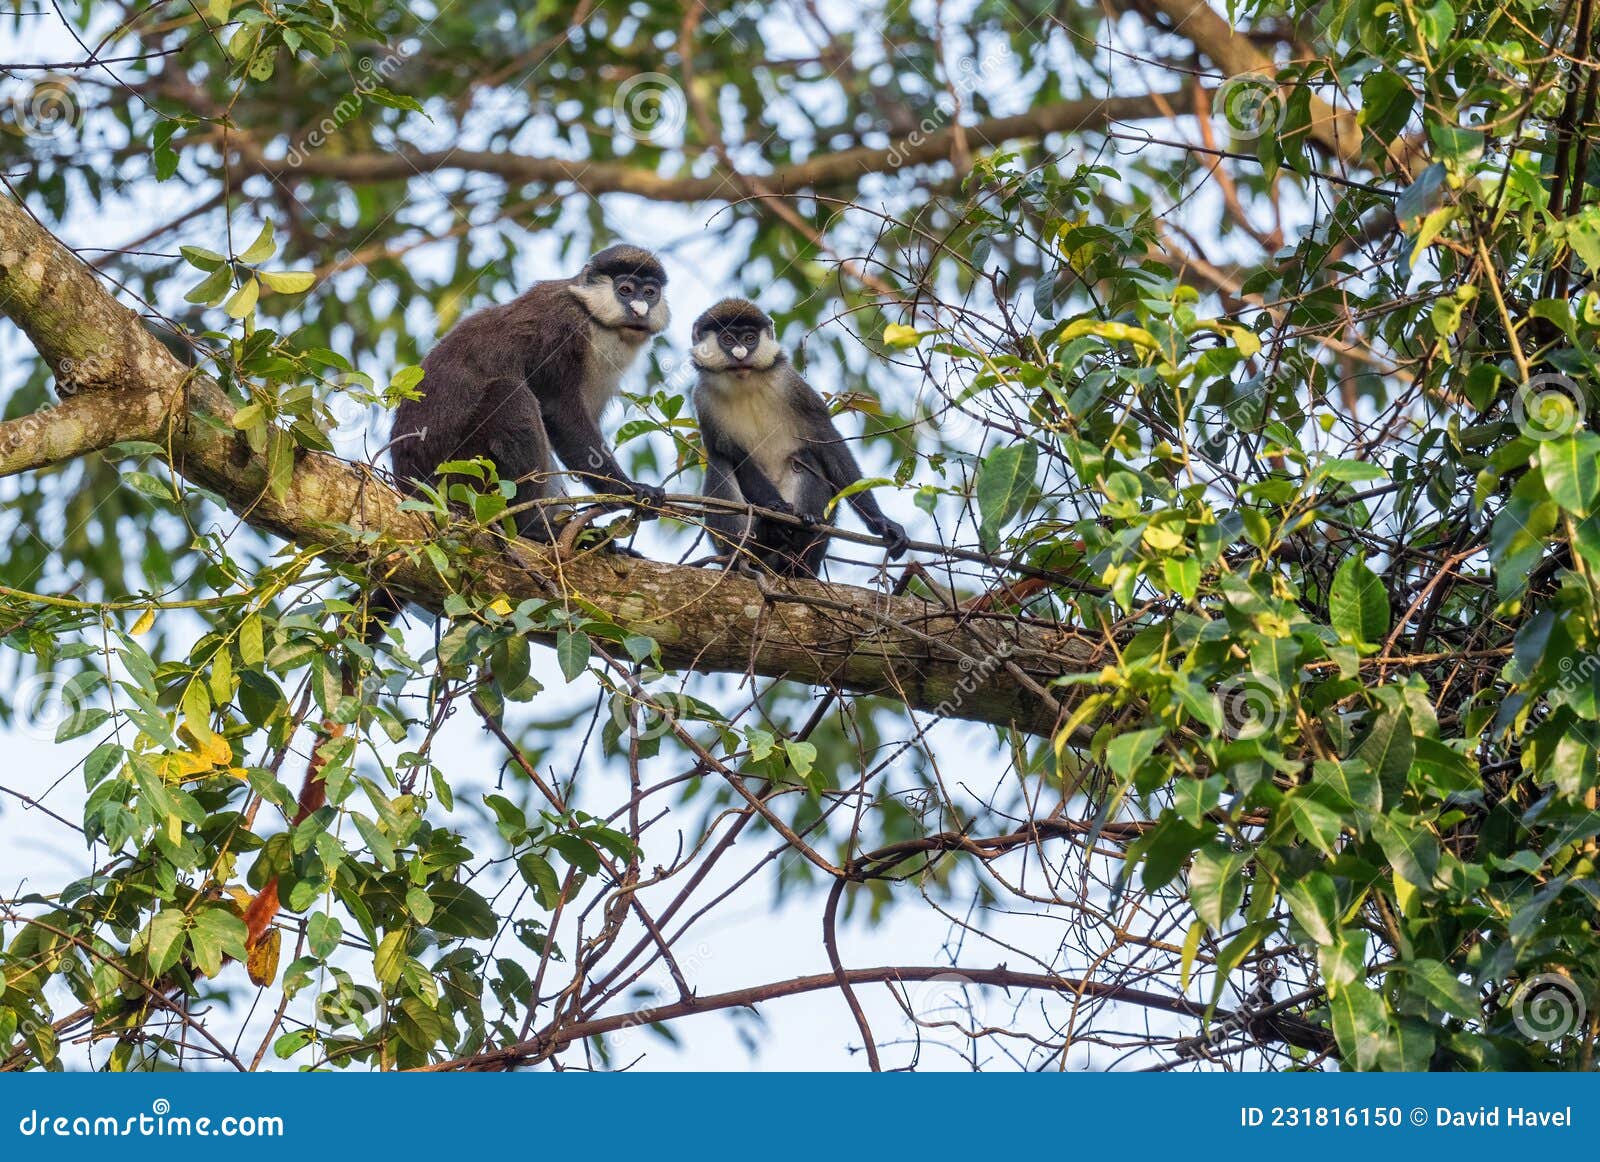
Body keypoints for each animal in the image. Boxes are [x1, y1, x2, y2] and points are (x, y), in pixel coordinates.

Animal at [390, 243, 671, 541]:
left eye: (649, 293)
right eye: (625, 290)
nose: (640, 311)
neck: (594, 319)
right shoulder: (561, 328)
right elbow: (560, 414)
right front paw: (627, 490)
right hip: (462, 476)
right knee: (511, 394)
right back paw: (529, 527)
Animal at [690, 298, 909, 577]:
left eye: (750, 338)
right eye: (728, 339)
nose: (740, 354)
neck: (744, 383)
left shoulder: (793, 386)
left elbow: (827, 440)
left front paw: (882, 523)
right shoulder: (703, 401)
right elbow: (733, 455)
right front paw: (776, 510)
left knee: (804, 458)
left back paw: (798, 549)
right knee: (720, 463)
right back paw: (758, 542)